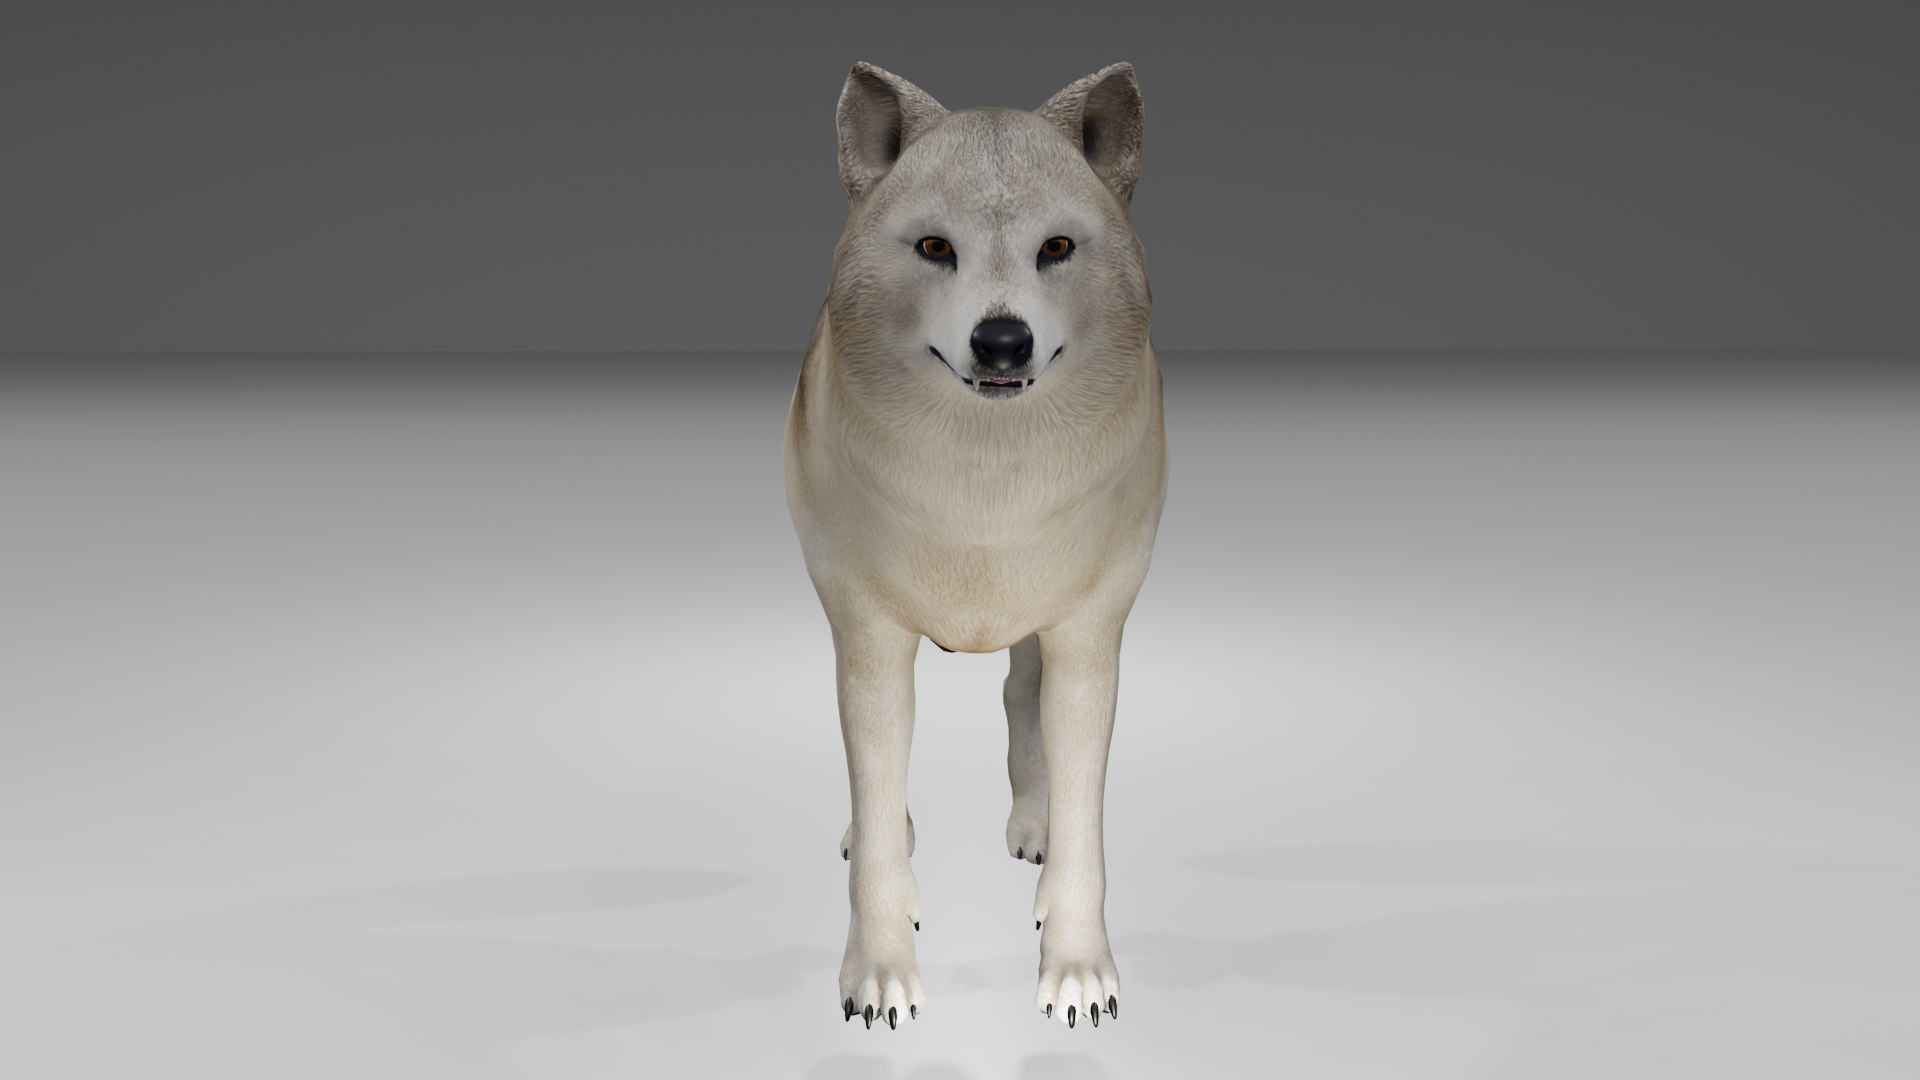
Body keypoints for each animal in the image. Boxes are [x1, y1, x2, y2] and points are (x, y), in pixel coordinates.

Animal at [782, 60, 1167, 1031]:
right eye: (933, 248)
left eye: (1057, 248)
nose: (1001, 341)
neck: (983, 498)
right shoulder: (870, 635)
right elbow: (878, 786)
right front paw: (880, 971)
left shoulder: (1090, 634)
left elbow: (1083, 809)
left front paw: (1077, 969)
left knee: (1018, 698)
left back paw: (1034, 834)